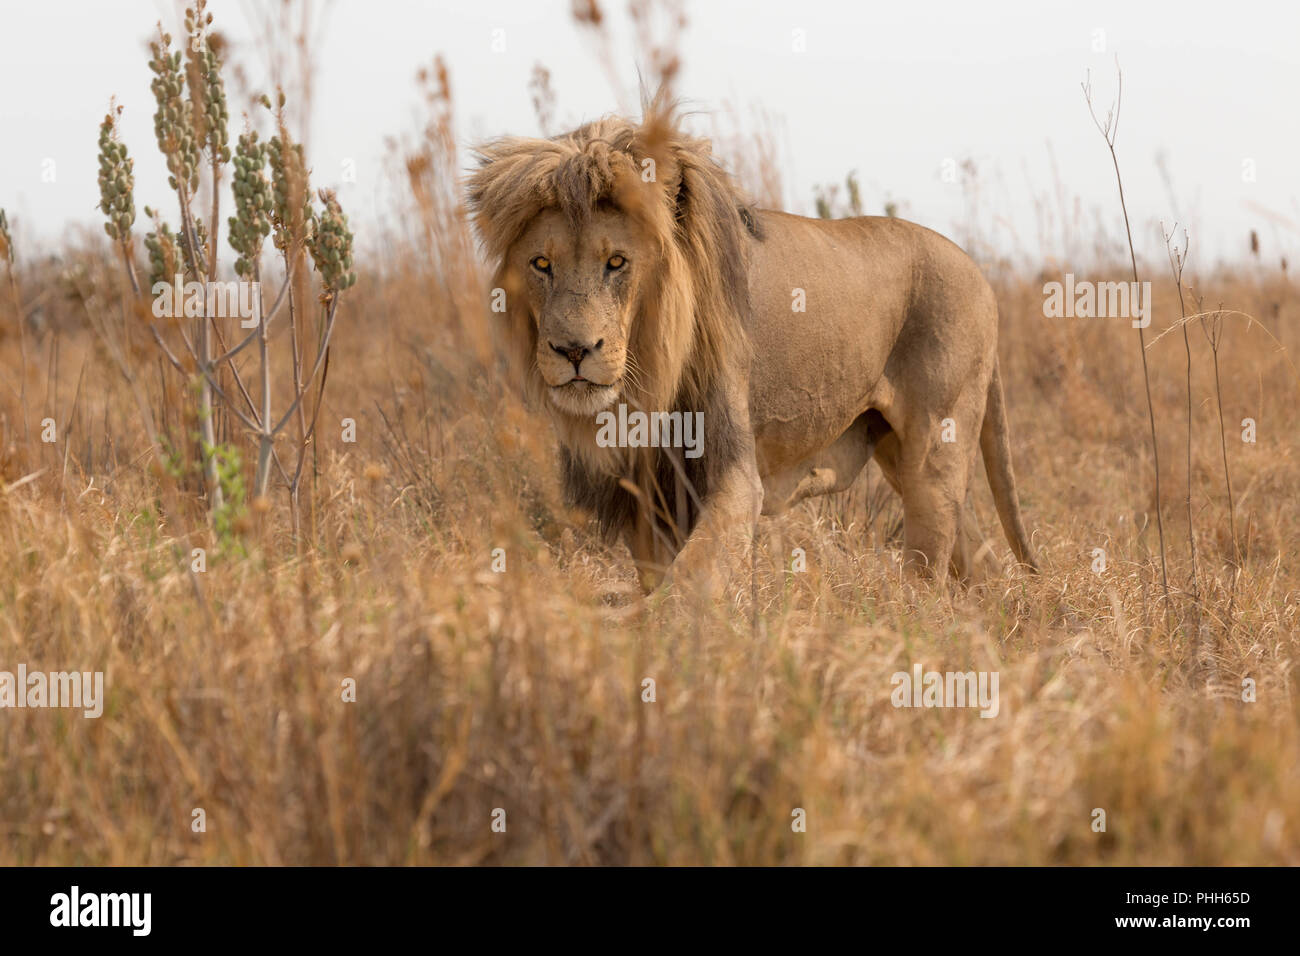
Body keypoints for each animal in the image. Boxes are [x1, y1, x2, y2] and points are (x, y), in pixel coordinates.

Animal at [467, 96, 1037, 595]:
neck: (648, 381)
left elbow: (689, 580)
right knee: (975, 553)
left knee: (931, 557)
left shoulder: (732, 472)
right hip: (903, 456)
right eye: (542, 264)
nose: (573, 351)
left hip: (936, 446)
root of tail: (980, 274)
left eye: (617, 262)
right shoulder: (646, 493)